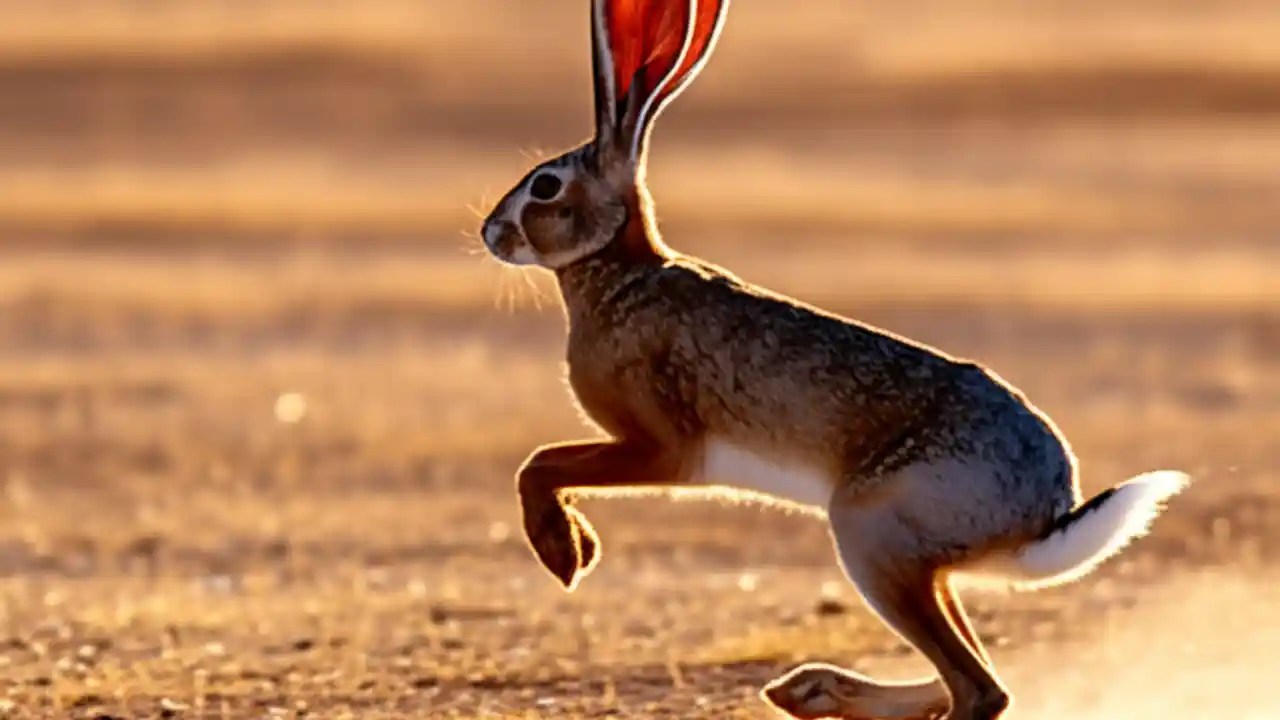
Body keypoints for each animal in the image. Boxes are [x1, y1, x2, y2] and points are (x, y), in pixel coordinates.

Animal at [479, 1, 1188, 718]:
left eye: (545, 186)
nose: (490, 234)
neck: (620, 272)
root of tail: (1043, 515)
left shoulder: (662, 448)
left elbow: (538, 465)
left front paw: (564, 553)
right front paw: (578, 546)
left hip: (870, 532)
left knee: (979, 688)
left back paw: (817, 691)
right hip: (912, 560)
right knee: (964, 673)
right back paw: (811, 689)